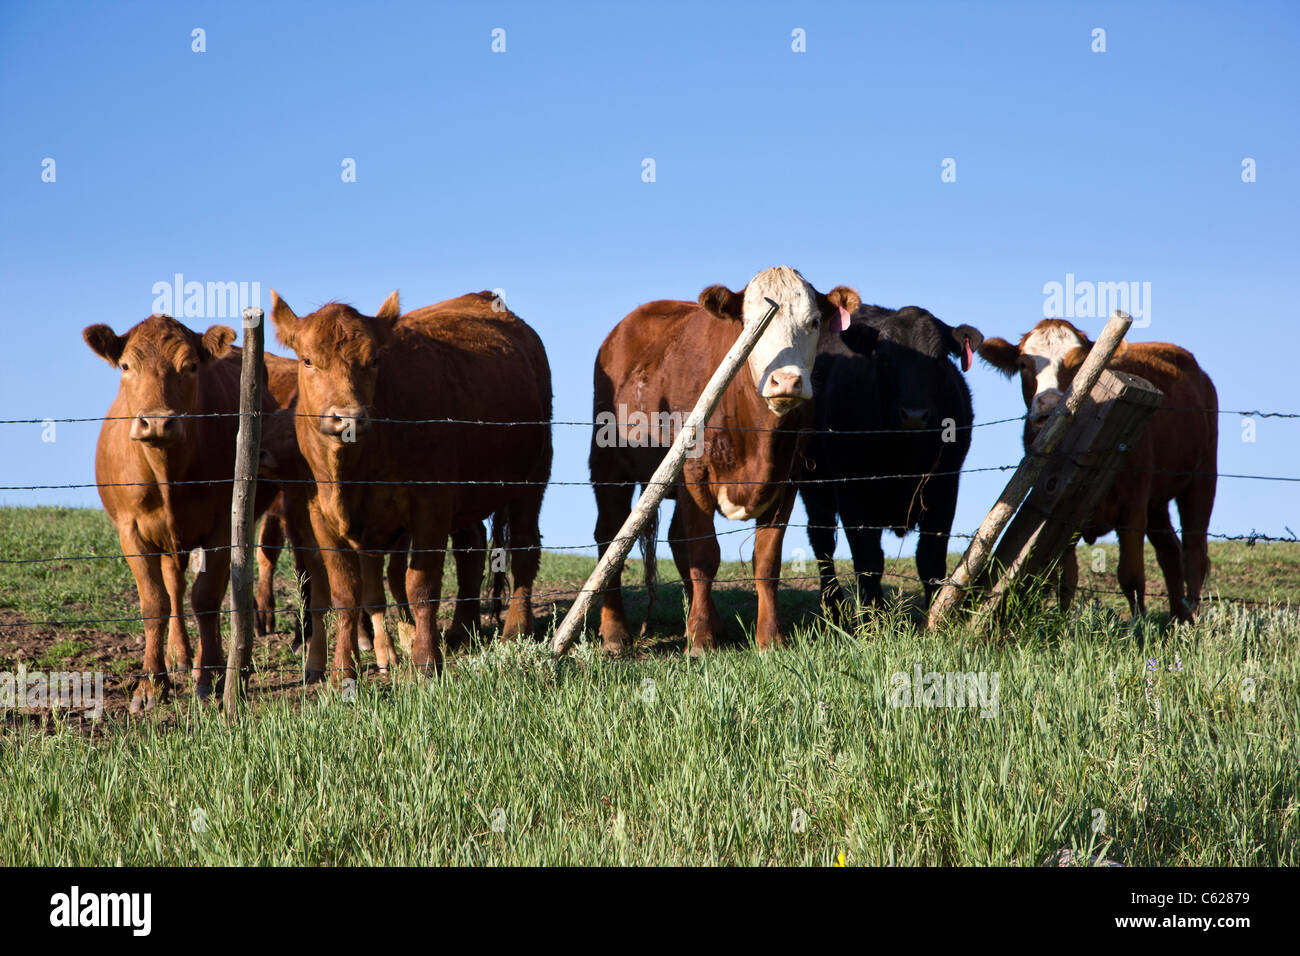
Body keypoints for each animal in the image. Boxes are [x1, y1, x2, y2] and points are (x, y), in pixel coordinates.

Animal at [84, 314, 281, 711]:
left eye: (190, 367)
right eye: (126, 366)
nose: (158, 422)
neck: (167, 472)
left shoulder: (223, 525)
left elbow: (206, 599)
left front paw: (208, 679)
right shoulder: (131, 531)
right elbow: (154, 602)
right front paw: (150, 685)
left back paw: (215, 664)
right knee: (174, 587)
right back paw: (180, 656)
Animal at [269, 289, 552, 680]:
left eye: (374, 360)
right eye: (307, 360)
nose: (348, 418)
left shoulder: (431, 502)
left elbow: (420, 585)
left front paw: (426, 660)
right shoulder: (319, 514)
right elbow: (345, 594)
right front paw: (343, 671)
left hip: (532, 477)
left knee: (525, 546)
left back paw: (515, 630)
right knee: (471, 549)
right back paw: (461, 630)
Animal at [590, 266, 861, 656]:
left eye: (813, 322)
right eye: (750, 323)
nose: (786, 381)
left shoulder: (786, 481)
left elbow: (766, 560)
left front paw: (769, 638)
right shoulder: (693, 474)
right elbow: (704, 556)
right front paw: (701, 639)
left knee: (675, 539)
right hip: (608, 465)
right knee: (609, 536)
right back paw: (615, 632)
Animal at [801, 305, 984, 612]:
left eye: (940, 359)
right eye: (883, 359)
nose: (914, 414)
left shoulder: (945, 488)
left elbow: (930, 559)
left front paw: (936, 613)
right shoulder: (851, 492)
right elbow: (868, 561)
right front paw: (872, 618)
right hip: (811, 483)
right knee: (822, 540)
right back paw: (833, 607)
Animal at [979, 319, 1218, 622]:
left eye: (1080, 363)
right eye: (1023, 364)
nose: (1048, 408)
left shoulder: (1134, 504)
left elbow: (1131, 577)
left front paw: (1137, 627)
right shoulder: (1061, 508)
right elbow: (1066, 578)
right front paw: (1062, 624)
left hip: (1202, 479)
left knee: (1194, 553)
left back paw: (1192, 622)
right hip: (1157, 503)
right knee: (1170, 552)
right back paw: (1178, 619)